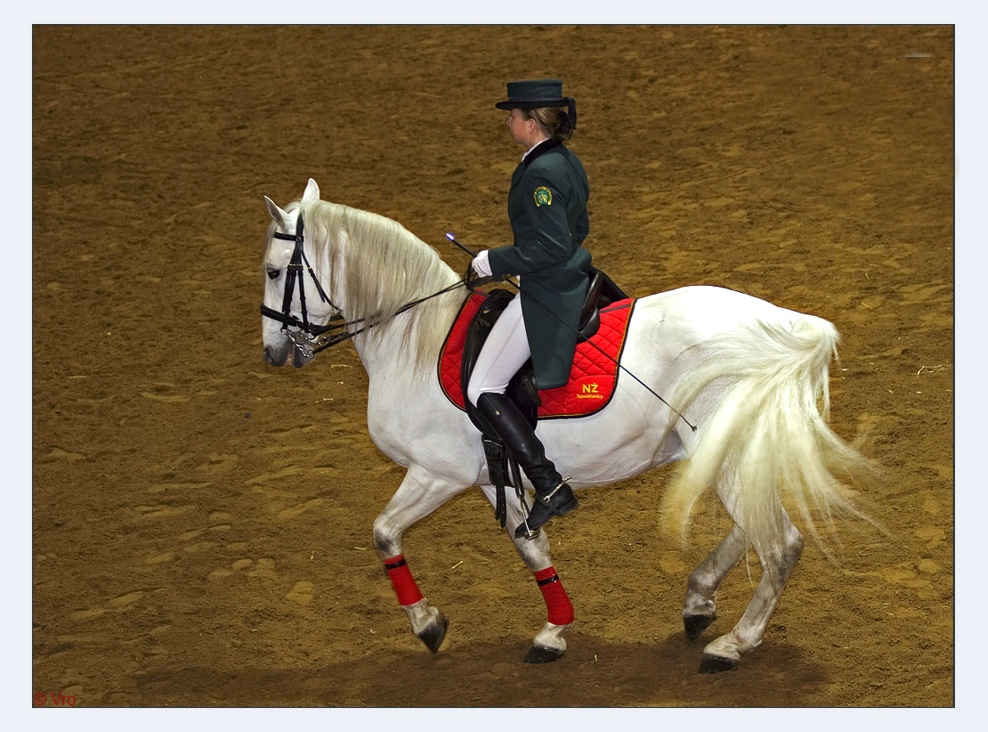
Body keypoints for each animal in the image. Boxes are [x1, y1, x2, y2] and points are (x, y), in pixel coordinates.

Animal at [260, 178, 868, 673]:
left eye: (272, 271)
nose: (273, 353)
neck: (417, 340)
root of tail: (775, 326)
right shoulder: (492, 475)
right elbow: (532, 547)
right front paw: (554, 630)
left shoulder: (437, 474)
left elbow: (384, 531)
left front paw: (427, 624)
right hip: (724, 453)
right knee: (754, 529)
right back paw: (698, 602)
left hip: (726, 452)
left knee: (780, 544)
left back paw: (732, 645)